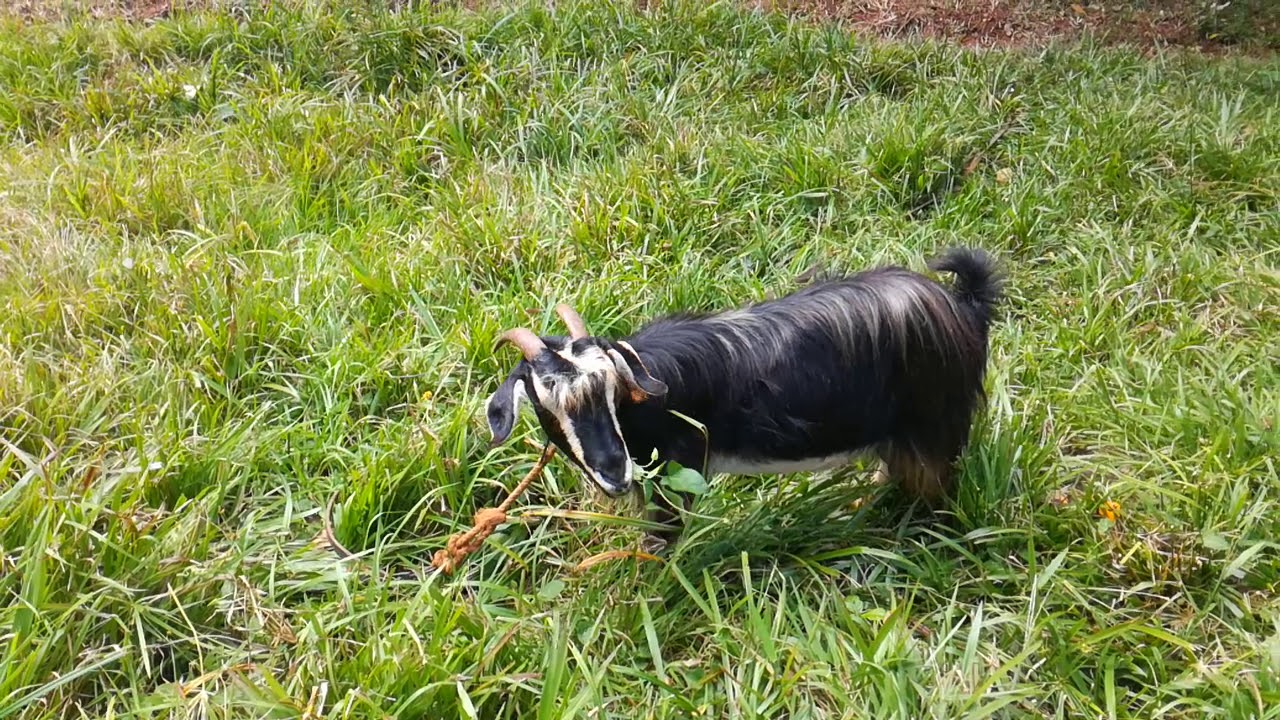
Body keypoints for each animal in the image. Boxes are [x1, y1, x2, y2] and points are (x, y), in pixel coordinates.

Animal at [485, 248, 1003, 549]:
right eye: (545, 401)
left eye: (610, 386)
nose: (614, 471)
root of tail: (964, 307)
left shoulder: (679, 469)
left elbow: (662, 539)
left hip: (935, 423)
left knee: (936, 486)